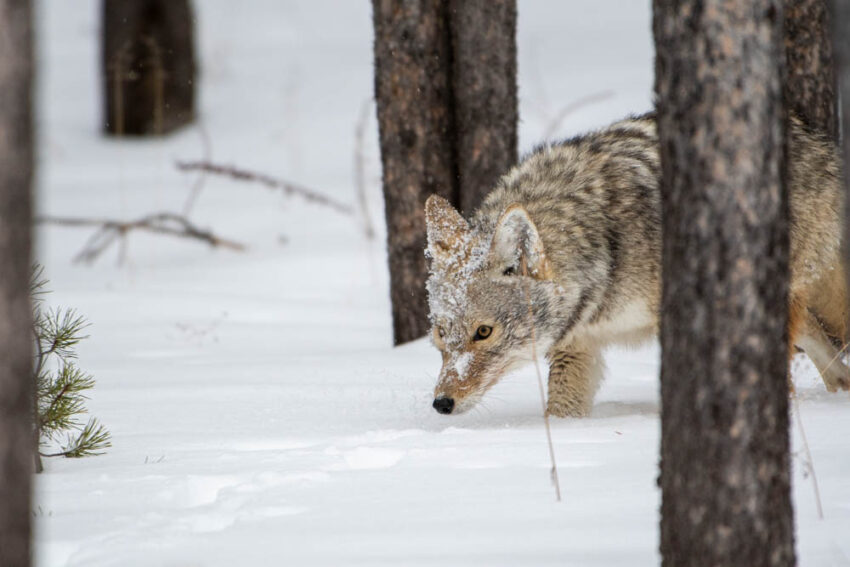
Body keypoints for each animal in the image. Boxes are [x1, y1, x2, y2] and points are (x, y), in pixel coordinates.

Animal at [425, 113, 849, 417]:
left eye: (483, 332)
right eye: (441, 334)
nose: (441, 403)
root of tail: (818, 142)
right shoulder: (577, 345)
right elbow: (562, 413)